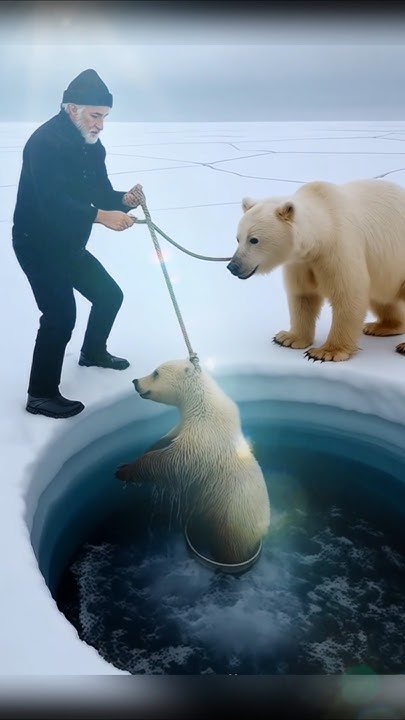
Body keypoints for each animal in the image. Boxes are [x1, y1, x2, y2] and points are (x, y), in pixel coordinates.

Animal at [115, 358, 271, 565]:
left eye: (156, 373)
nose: (135, 382)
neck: (202, 404)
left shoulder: (203, 437)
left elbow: (172, 462)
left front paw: (125, 471)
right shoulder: (185, 426)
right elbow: (167, 439)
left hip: (233, 522)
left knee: (229, 548)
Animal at [227, 178, 405, 362]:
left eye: (254, 240)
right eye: (238, 238)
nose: (233, 266)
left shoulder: (339, 248)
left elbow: (348, 294)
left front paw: (325, 352)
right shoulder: (301, 262)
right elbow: (303, 295)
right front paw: (288, 338)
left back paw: (401, 345)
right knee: (381, 298)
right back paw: (380, 327)